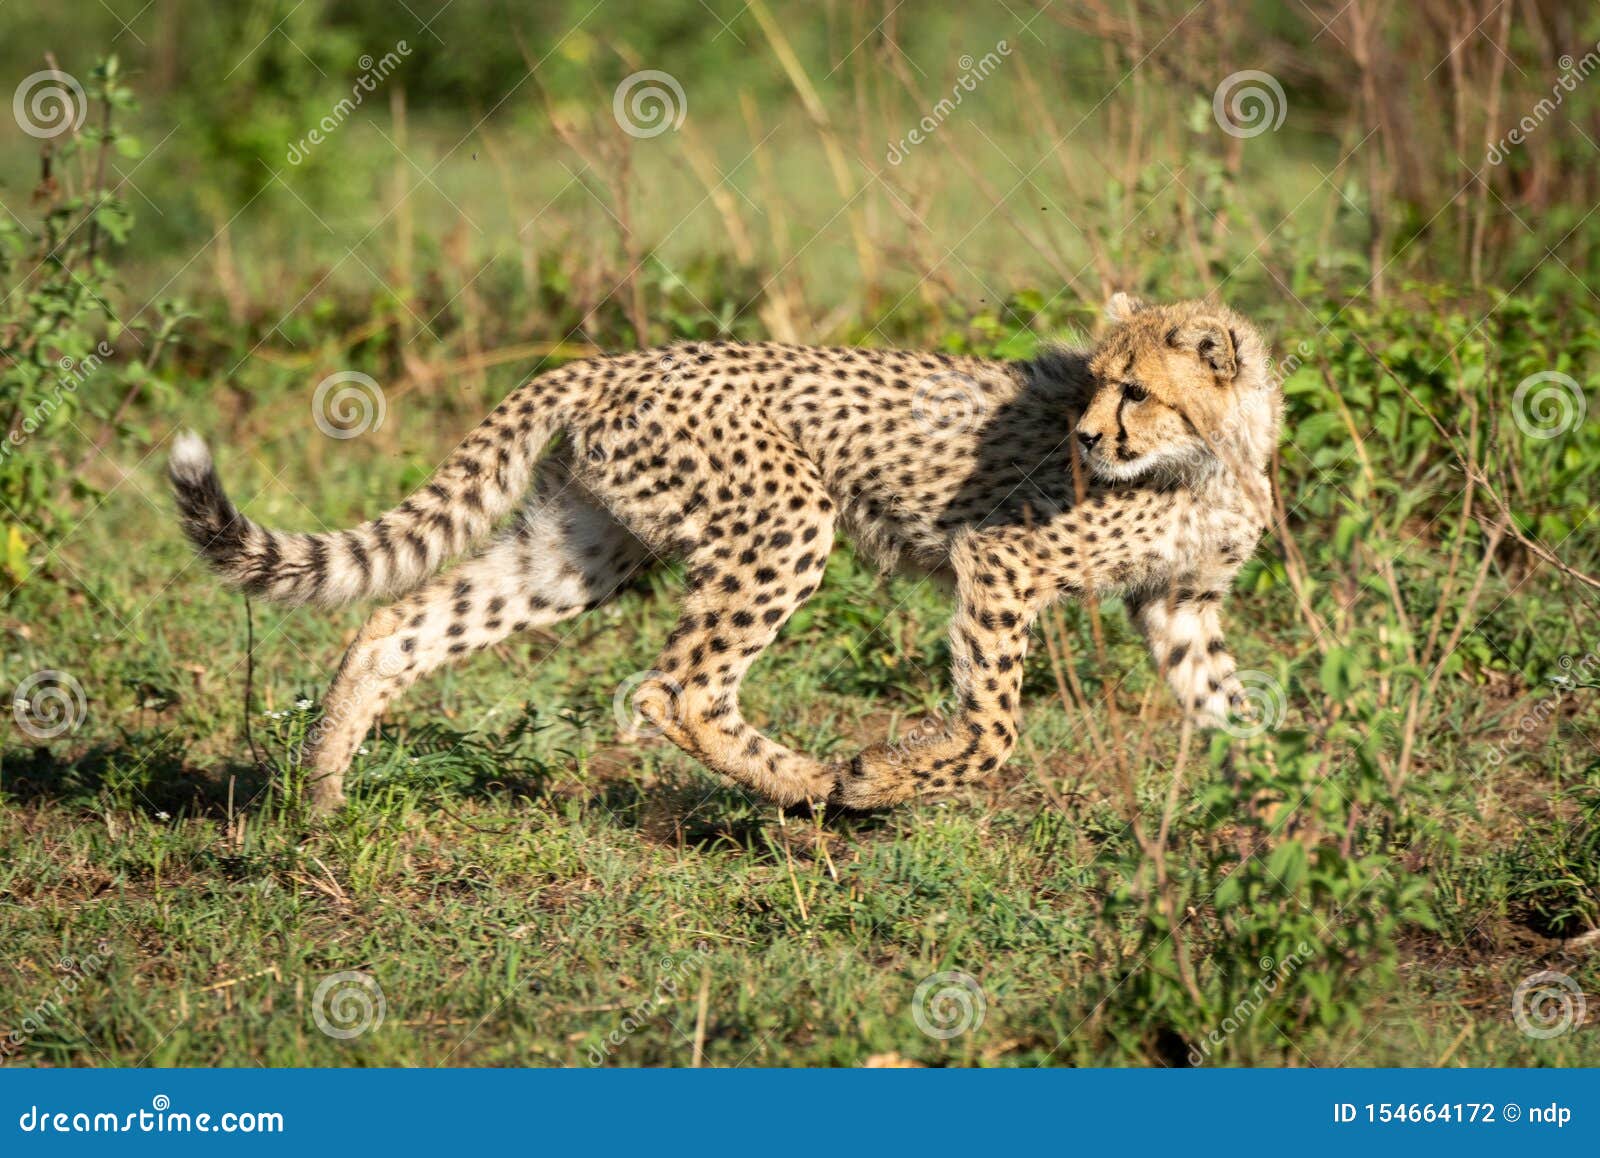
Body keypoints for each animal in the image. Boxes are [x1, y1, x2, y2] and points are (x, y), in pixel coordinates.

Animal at [168, 292, 1281, 815]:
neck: (1219, 451)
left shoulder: (1180, 603)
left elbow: (1241, 714)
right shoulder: (1003, 560)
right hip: (787, 518)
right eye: (1094, 383)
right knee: (679, 690)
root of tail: (619, 358)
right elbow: (996, 726)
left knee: (398, 623)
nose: (1088, 438)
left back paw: (322, 802)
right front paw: (887, 776)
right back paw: (813, 782)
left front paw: (1297, 816)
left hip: (585, 546)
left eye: (1133, 390)